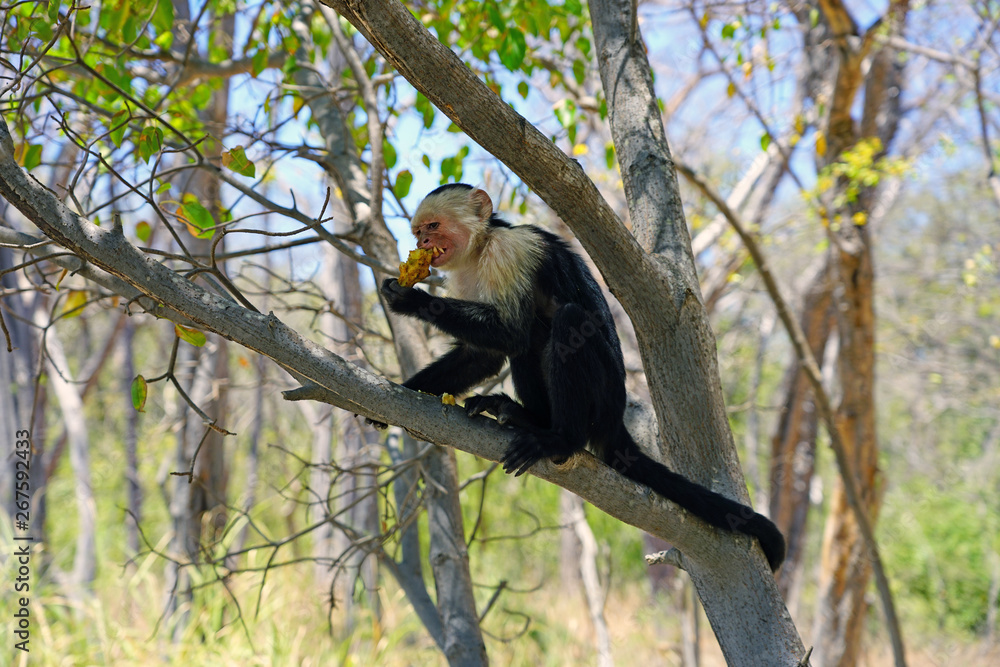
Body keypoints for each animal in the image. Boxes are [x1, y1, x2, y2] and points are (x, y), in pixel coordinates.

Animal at [380, 183, 785, 571]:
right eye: (418, 232)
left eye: (433, 227)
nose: (422, 244)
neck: (480, 249)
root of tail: (616, 419)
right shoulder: (462, 275)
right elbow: (485, 356)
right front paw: (396, 397)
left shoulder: (511, 251)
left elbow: (511, 332)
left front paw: (410, 300)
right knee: (533, 340)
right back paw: (527, 417)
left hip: (603, 398)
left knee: (566, 321)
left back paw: (559, 439)